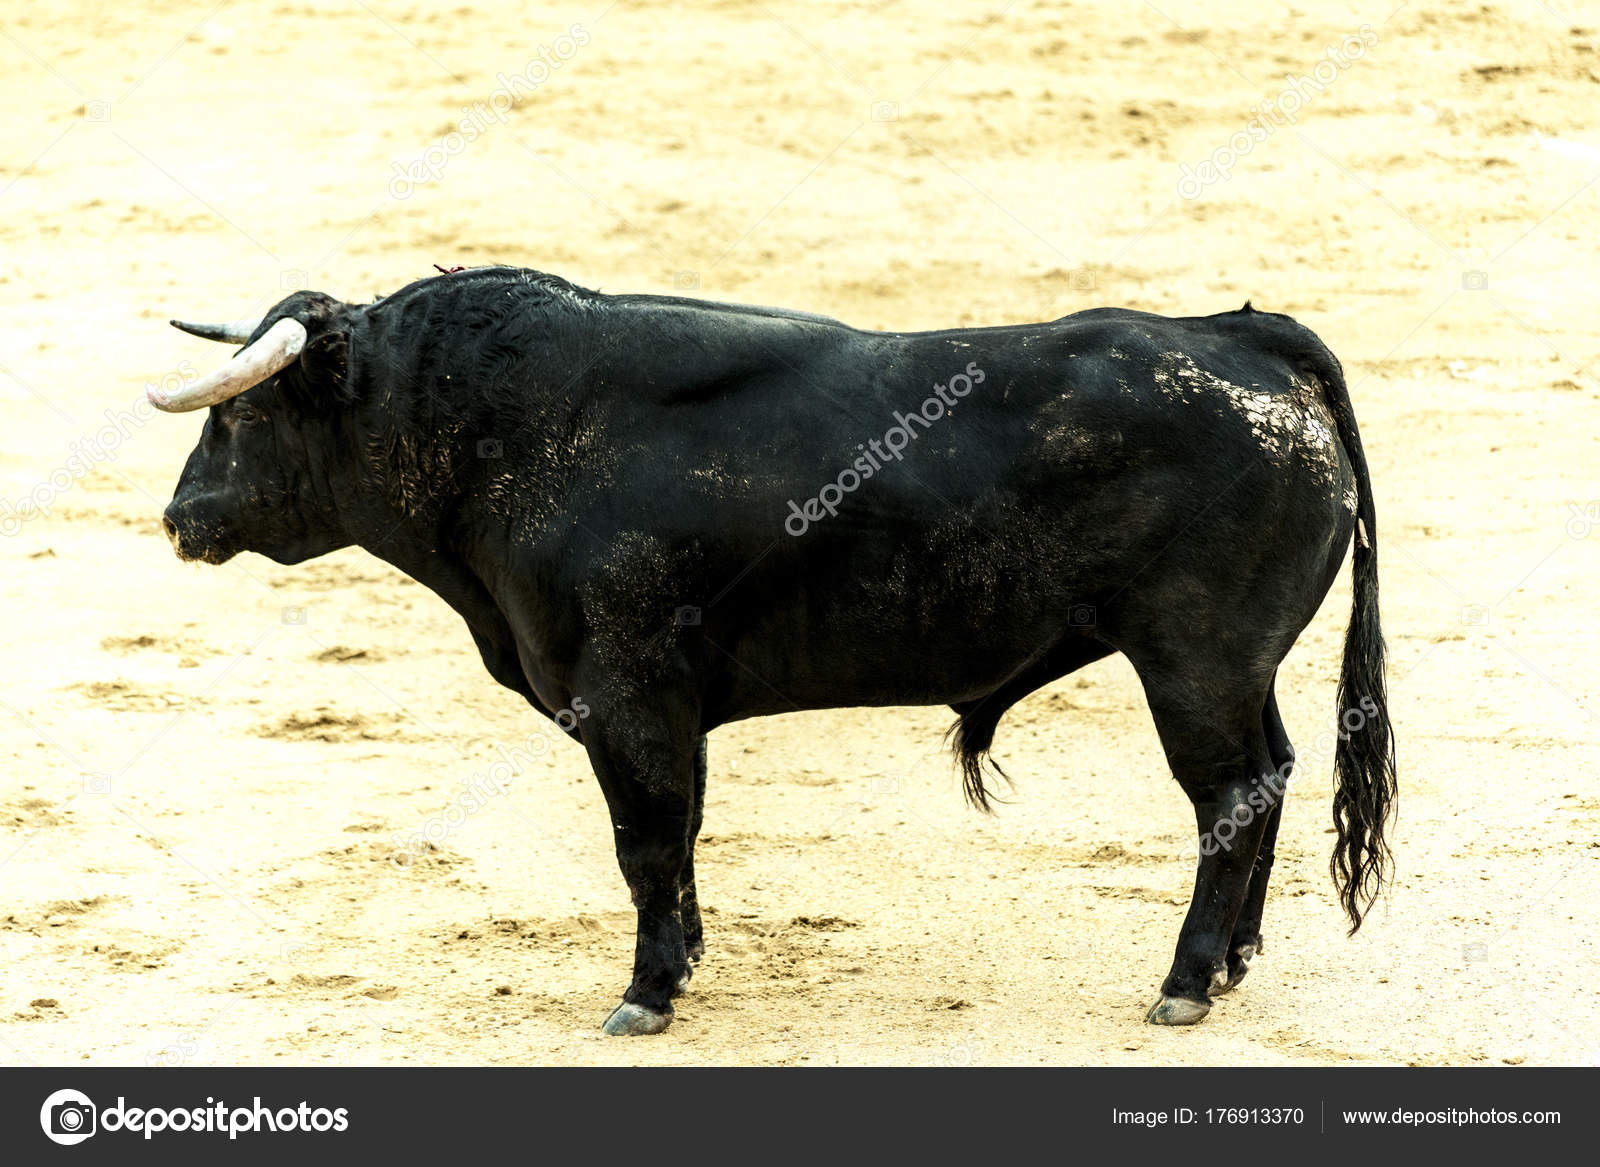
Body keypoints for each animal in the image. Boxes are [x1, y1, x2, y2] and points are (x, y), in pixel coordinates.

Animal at [152, 266, 1395, 1035]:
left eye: (243, 413)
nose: (179, 518)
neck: (495, 429)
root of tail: (1242, 337)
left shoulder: (624, 701)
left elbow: (645, 843)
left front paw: (646, 994)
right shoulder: (665, 711)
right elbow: (682, 837)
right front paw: (686, 964)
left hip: (1192, 662)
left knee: (1226, 795)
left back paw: (1184, 981)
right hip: (1237, 669)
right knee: (1271, 777)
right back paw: (1232, 963)